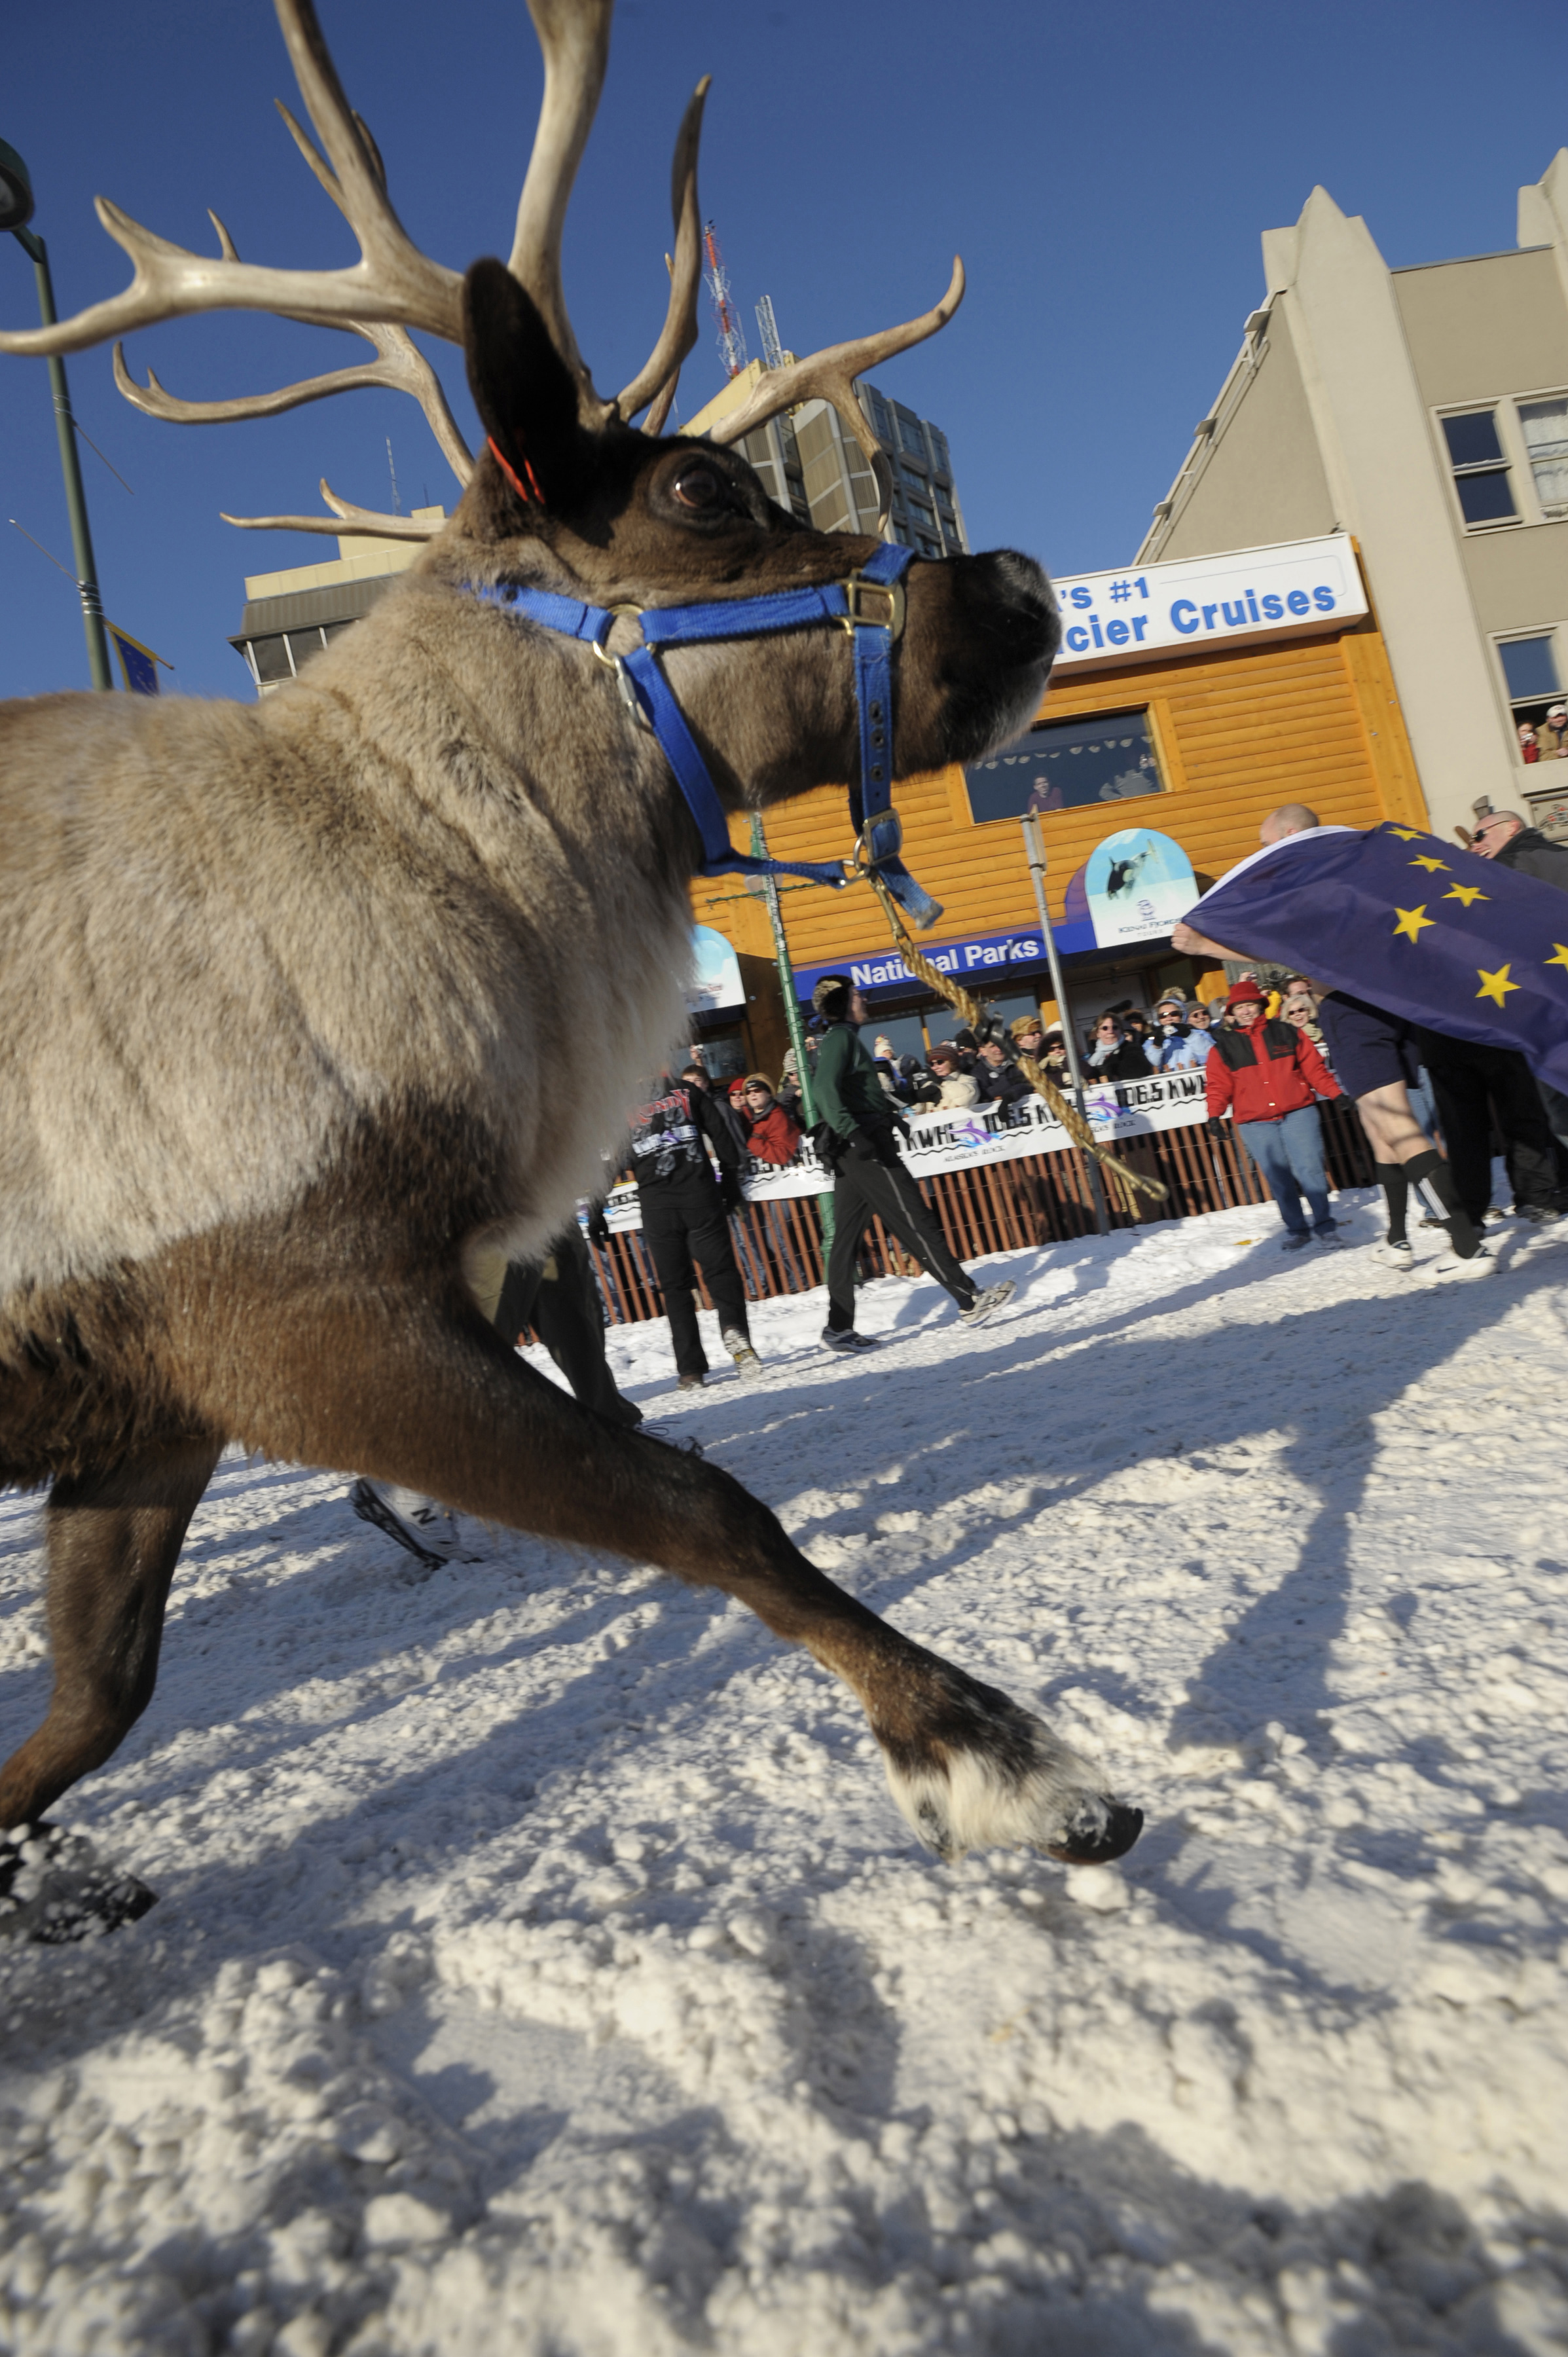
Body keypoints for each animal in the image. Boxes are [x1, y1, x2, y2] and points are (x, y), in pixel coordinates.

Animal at [0, 0, 1142, 1921]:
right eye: (698, 486)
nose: (1021, 580)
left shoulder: (143, 1400)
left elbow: (96, 1699)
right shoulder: (301, 1314)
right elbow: (703, 1505)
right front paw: (1002, 1762)